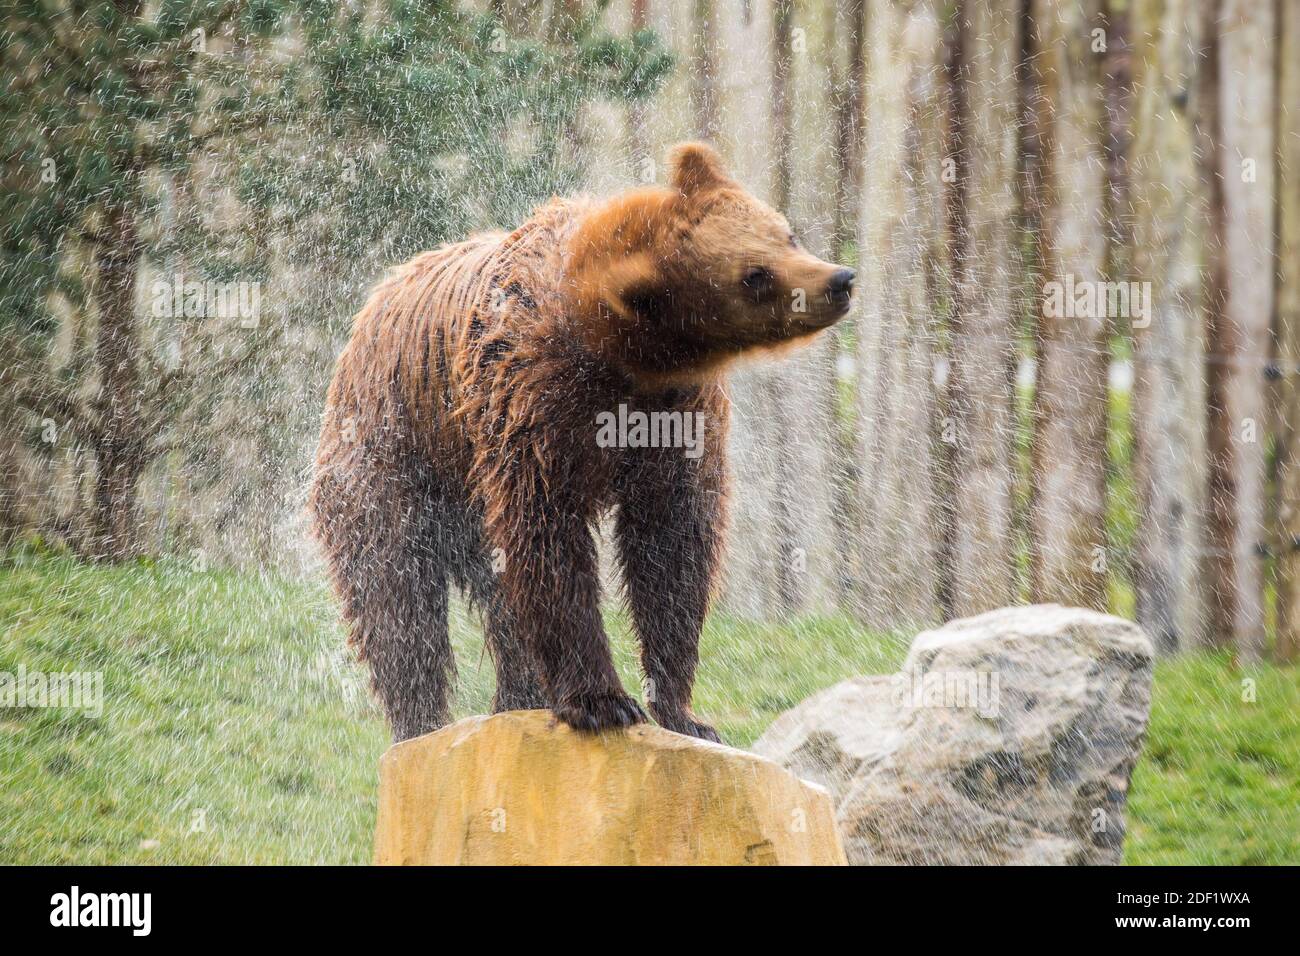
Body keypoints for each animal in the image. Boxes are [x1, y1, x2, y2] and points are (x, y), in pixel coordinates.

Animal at [308, 142, 854, 743]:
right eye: (754, 276)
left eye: (787, 234)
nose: (839, 280)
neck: (625, 358)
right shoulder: (532, 401)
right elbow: (550, 541)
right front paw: (602, 701)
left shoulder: (678, 416)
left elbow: (672, 544)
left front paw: (683, 712)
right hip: (394, 457)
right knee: (397, 598)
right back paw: (422, 724)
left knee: (498, 596)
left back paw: (517, 697)